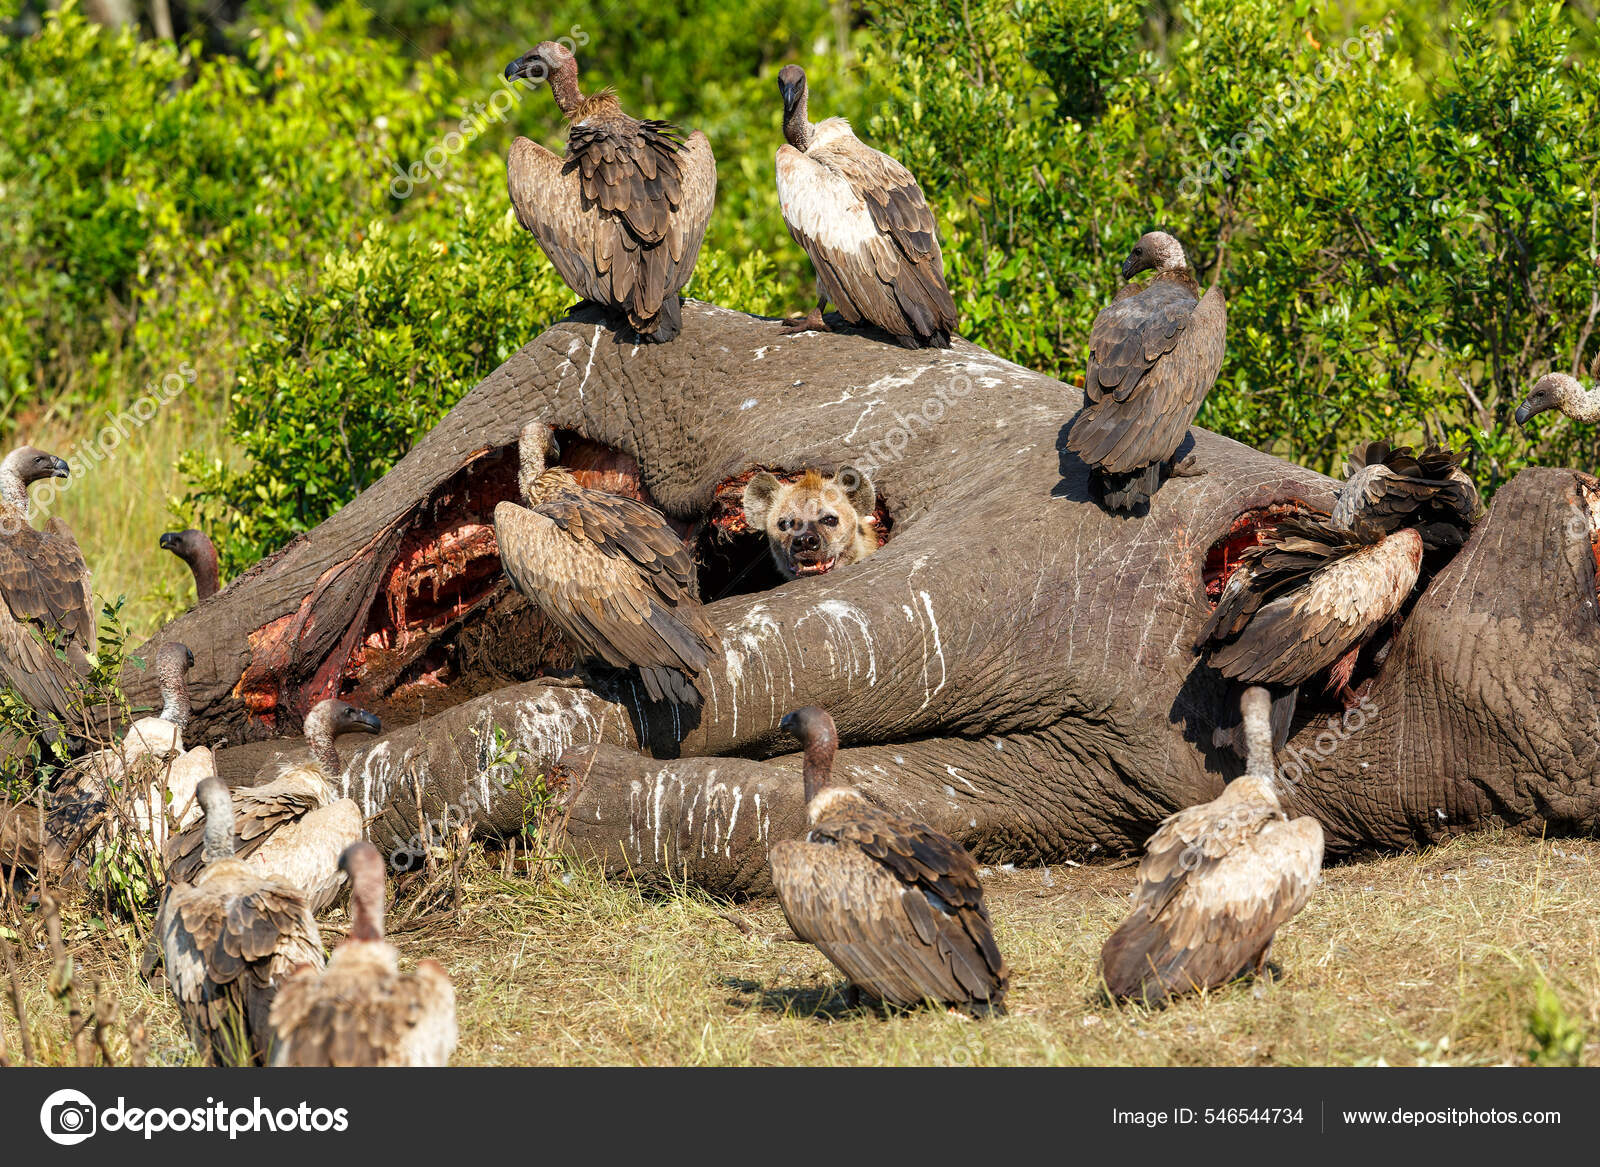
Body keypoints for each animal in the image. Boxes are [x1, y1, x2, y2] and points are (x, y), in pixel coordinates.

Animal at [123, 301, 1600, 896]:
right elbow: (711, 664)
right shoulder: (1001, 576)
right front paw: (138, 816)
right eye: (1585, 538)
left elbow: (749, 787)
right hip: (566, 370)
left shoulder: (1090, 774)